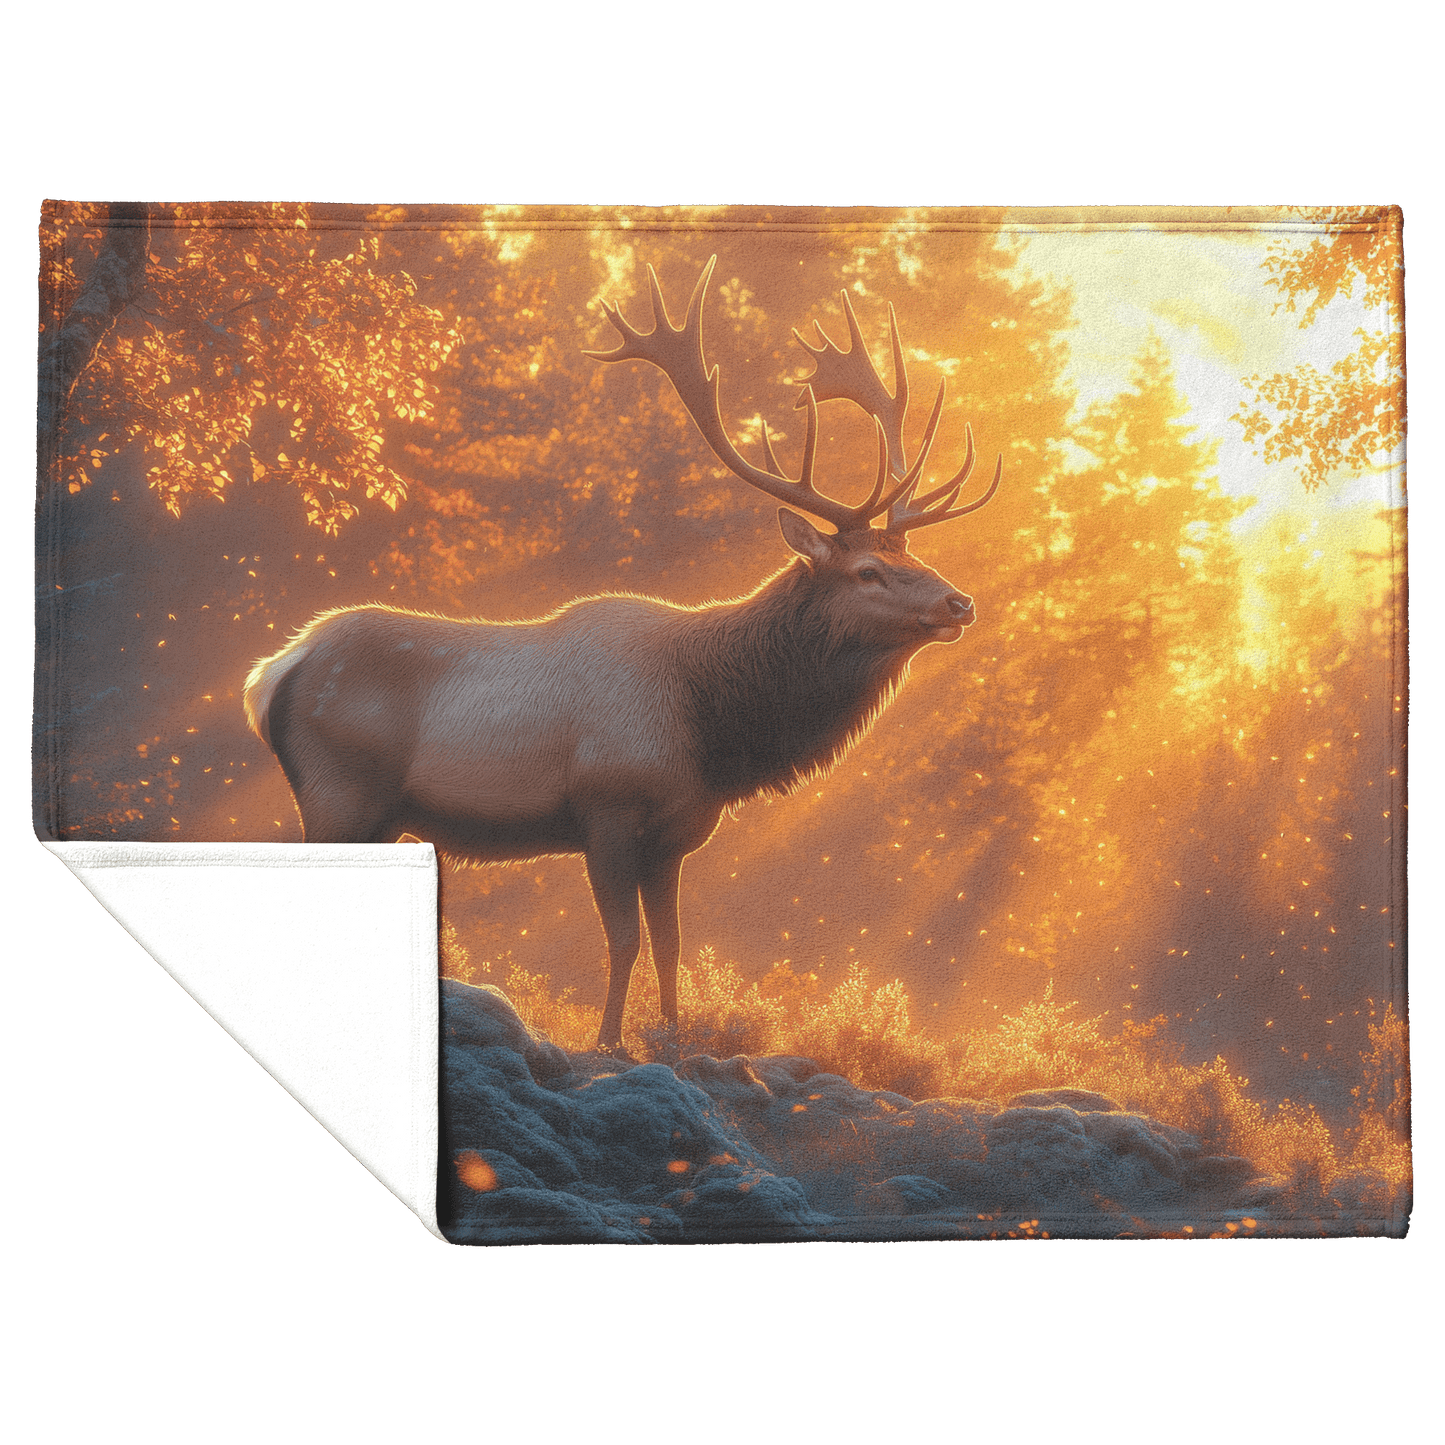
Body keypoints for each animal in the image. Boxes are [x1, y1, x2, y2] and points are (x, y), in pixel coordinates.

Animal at [243, 257, 1002, 1054]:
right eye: (867, 571)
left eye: (909, 555)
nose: (960, 603)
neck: (713, 731)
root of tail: (269, 674)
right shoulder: (604, 805)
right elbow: (622, 940)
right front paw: (609, 1040)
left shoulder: (675, 834)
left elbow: (670, 942)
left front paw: (673, 1034)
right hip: (337, 787)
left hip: (379, 812)